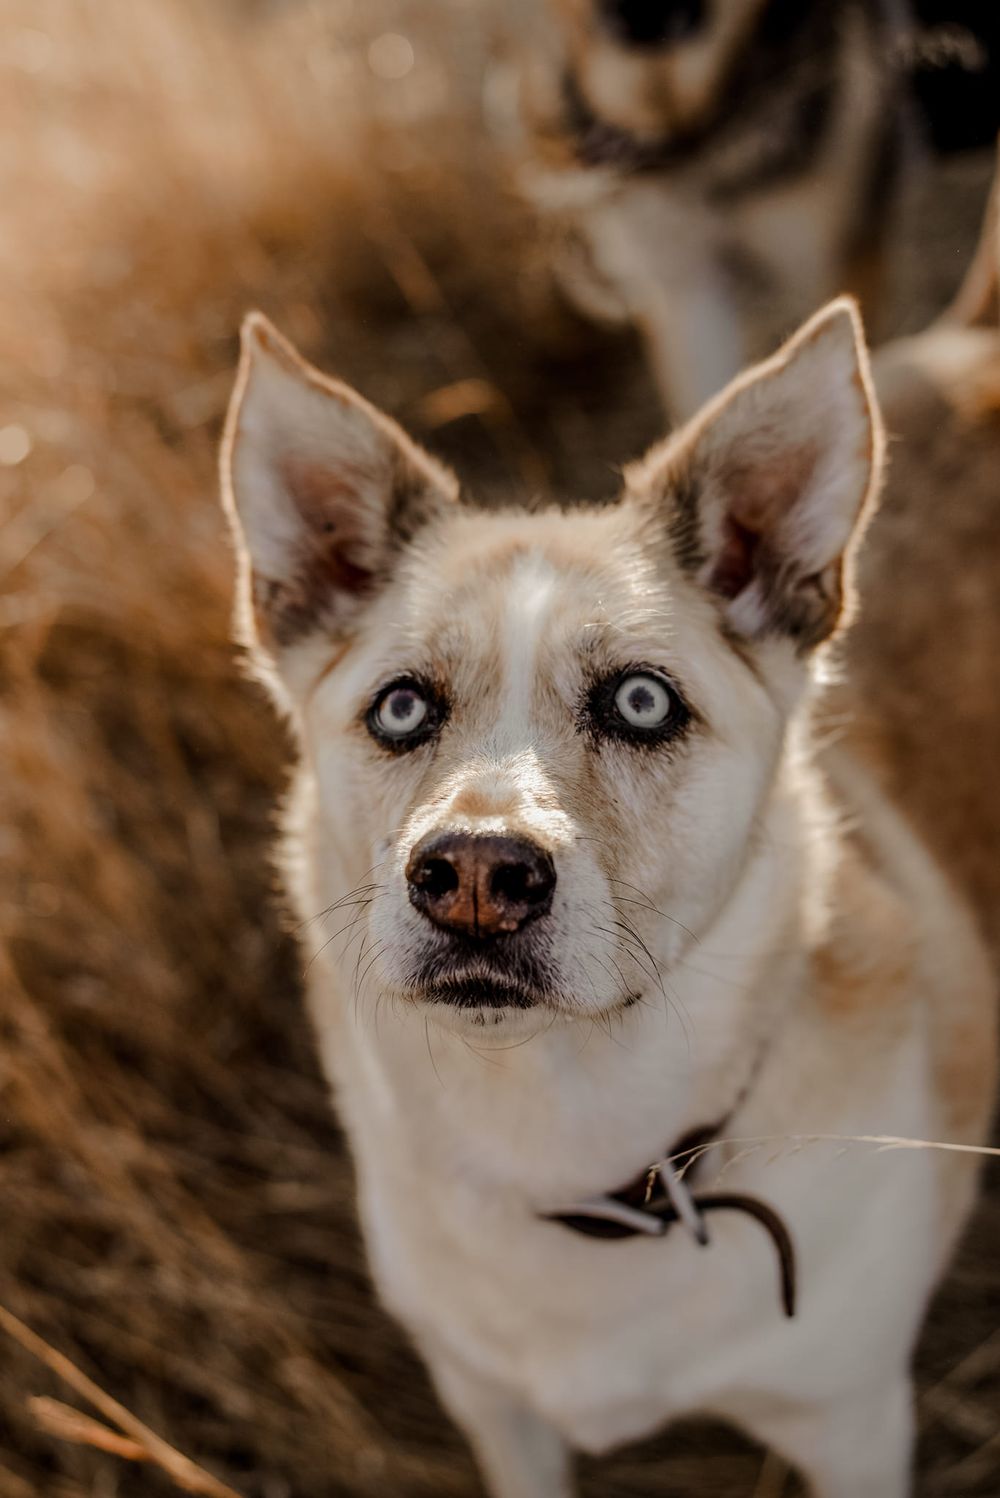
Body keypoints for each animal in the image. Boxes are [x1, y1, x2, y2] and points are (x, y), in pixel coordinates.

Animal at [219, 286, 997, 1495]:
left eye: (640, 701)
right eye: (401, 708)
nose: (475, 877)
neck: (564, 1125)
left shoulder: (853, 1422)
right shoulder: (493, 1406)